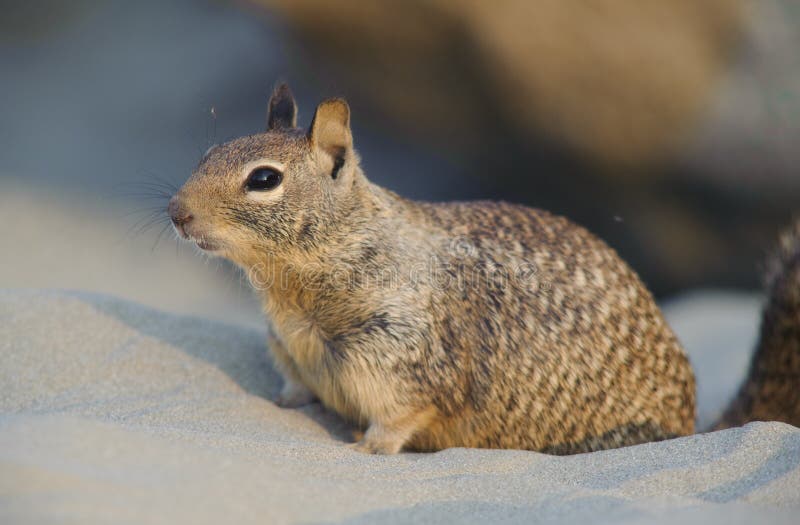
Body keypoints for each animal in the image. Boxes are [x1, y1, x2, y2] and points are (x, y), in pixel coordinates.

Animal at [168, 83, 798, 454]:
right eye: (205, 154)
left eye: (264, 179)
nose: (176, 212)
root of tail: (693, 427)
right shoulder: (289, 350)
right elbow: (294, 389)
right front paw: (281, 406)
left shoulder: (402, 360)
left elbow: (396, 422)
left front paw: (362, 448)